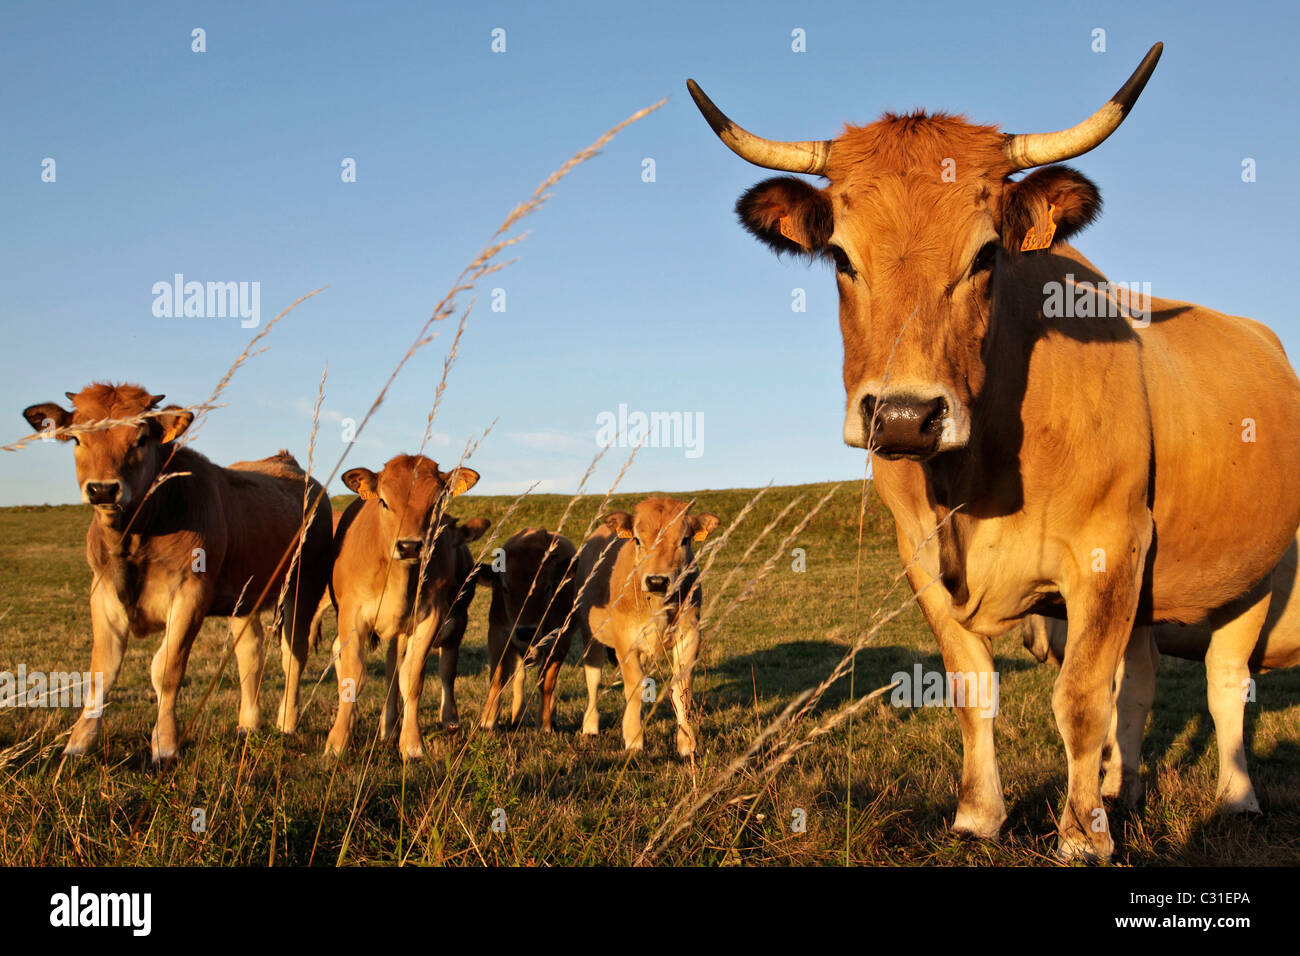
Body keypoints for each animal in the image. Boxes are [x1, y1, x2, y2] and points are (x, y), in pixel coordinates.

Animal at [21, 383, 333, 763]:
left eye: (141, 439)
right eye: (78, 438)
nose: (103, 489)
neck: (137, 533)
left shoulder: (190, 595)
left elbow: (167, 670)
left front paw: (166, 744)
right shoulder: (103, 593)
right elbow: (101, 672)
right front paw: (79, 742)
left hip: (303, 587)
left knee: (293, 655)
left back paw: (286, 722)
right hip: (245, 598)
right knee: (250, 653)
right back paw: (248, 724)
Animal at [325, 453, 486, 759]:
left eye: (436, 503)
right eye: (384, 501)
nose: (410, 546)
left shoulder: (431, 617)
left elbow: (411, 679)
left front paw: (411, 744)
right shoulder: (352, 613)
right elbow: (353, 674)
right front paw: (337, 741)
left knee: (394, 671)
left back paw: (390, 726)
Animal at [478, 528, 579, 733]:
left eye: (548, 588)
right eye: (505, 588)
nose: (526, 631)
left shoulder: (561, 640)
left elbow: (547, 681)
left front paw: (545, 724)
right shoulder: (498, 633)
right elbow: (498, 677)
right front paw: (488, 720)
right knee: (519, 676)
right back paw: (517, 717)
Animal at [574, 497, 719, 757]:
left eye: (685, 540)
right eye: (637, 539)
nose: (657, 581)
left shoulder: (690, 635)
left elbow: (680, 688)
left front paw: (687, 742)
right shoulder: (625, 641)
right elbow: (634, 687)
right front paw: (633, 738)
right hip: (590, 635)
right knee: (593, 679)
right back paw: (590, 726)